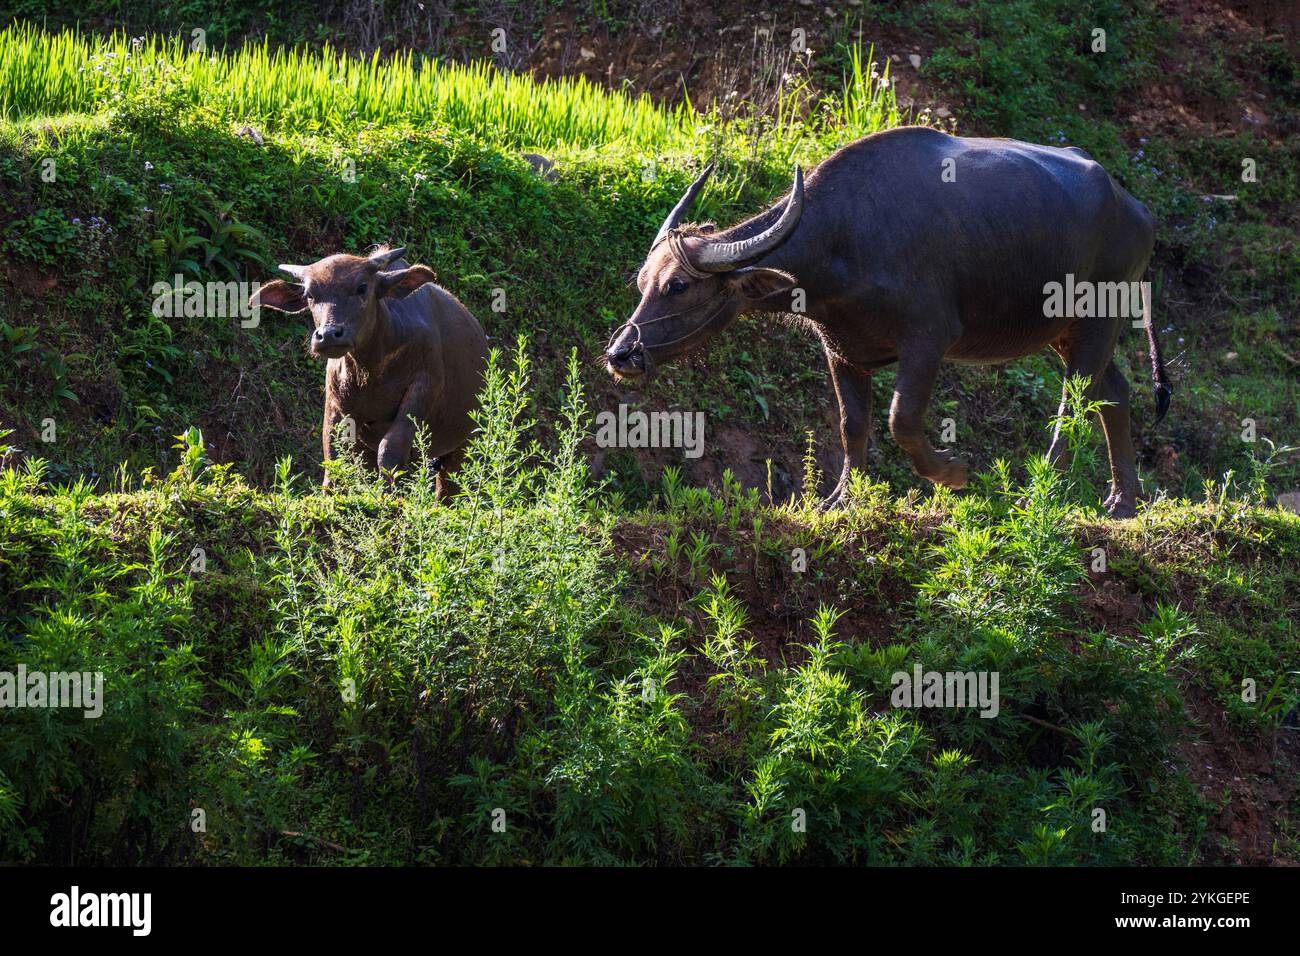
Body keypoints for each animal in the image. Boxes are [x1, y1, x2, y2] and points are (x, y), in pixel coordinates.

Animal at [251, 246, 488, 497]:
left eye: (362, 287)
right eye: (310, 295)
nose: (329, 335)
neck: (372, 369)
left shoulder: (423, 390)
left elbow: (391, 448)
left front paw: (385, 496)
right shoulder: (336, 401)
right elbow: (333, 451)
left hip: (465, 443)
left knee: (447, 487)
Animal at [605, 126, 1170, 517]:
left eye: (679, 286)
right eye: (642, 283)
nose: (621, 353)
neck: (846, 239)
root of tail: (1138, 211)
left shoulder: (928, 340)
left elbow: (902, 419)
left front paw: (952, 473)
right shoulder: (842, 350)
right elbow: (852, 425)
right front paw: (839, 498)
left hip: (1100, 317)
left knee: (1075, 403)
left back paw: (1039, 491)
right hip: (1068, 332)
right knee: (1113, 393)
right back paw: (1122, 502)